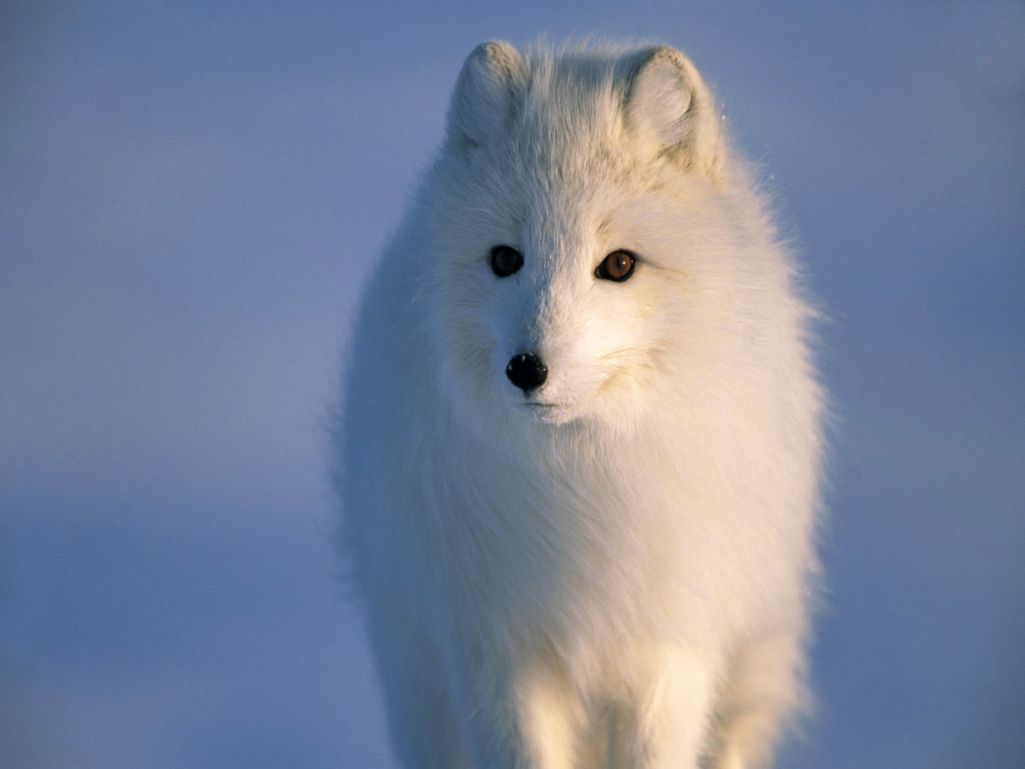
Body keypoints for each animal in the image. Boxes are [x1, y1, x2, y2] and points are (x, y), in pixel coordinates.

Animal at [336, 40, 824, 769]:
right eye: (504, 258)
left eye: (619, 265)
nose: (526, 369)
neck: (583, 482)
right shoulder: (497, 652)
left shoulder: (668, 653)